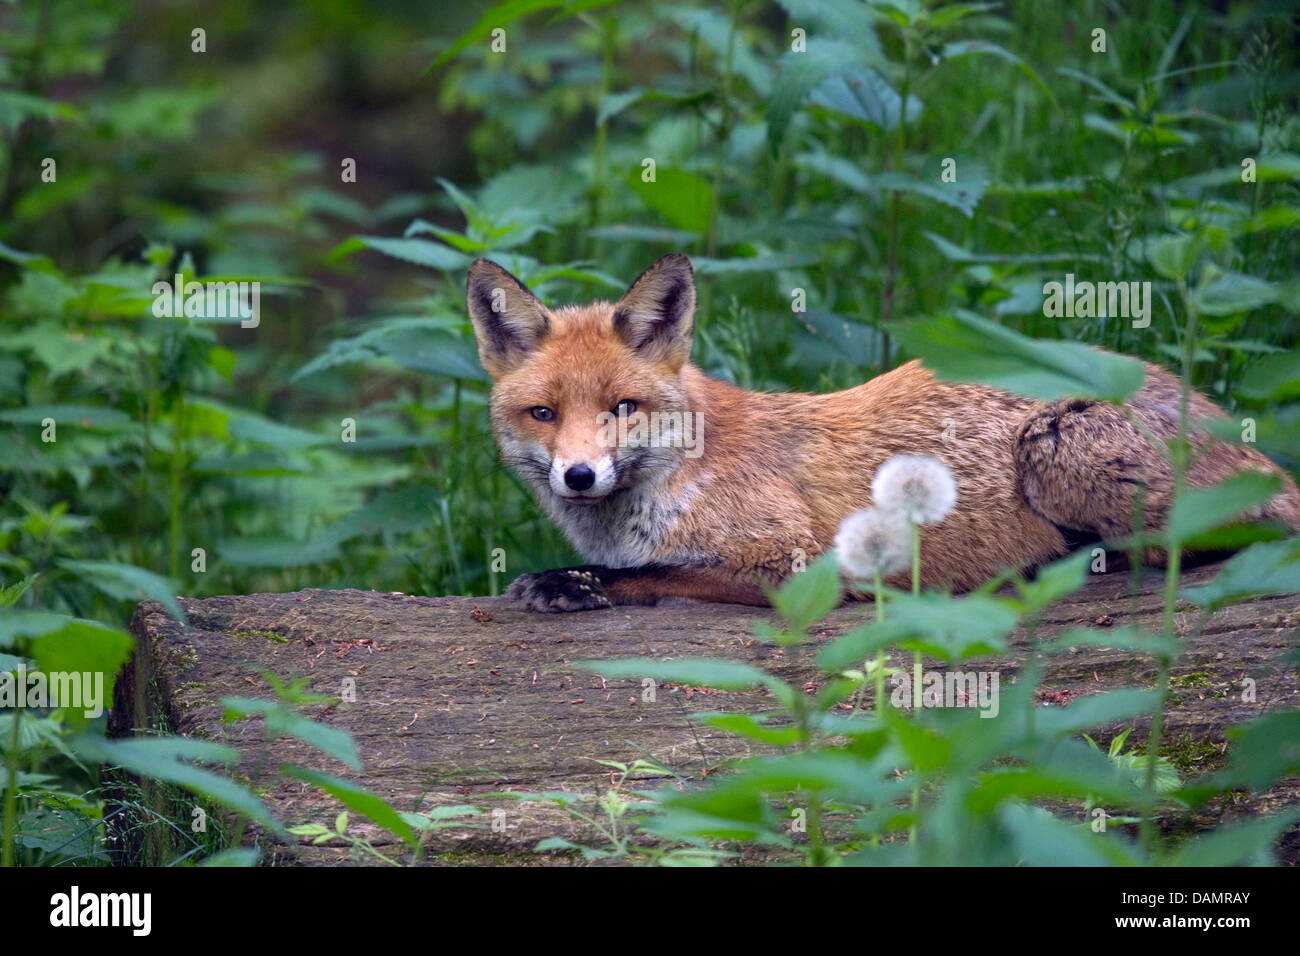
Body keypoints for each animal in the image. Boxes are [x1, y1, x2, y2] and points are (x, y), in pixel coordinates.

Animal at [466, 253, 1300, 612]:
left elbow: (657, 574)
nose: (579, 475)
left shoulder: (795, 559)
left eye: (623, 408)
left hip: (1054, 449)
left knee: (1216, 539)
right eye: (543, 414)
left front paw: (572, 583)